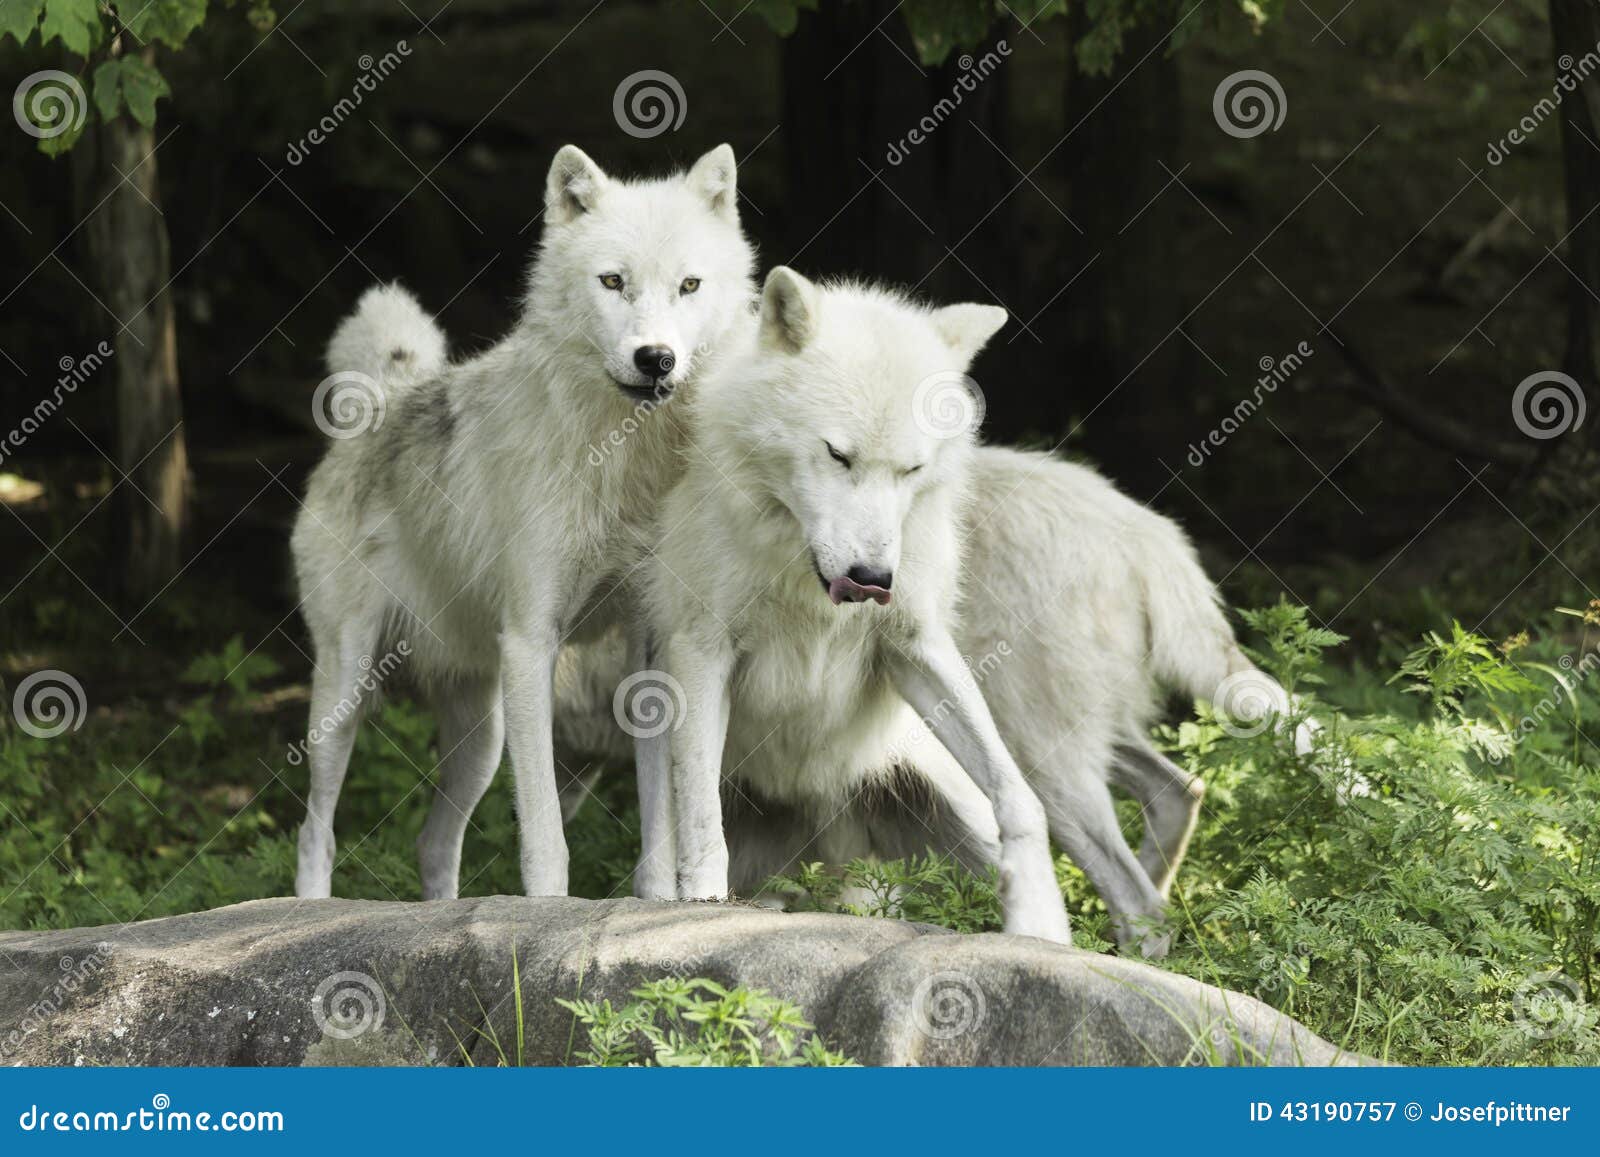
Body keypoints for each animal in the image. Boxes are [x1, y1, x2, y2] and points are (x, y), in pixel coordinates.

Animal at [289, 143, 756, 901]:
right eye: (613, 281)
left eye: (689, 285)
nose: (656, 358)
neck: (619, 461)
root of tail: (386, 397)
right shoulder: (532, 641)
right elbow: (544, 834)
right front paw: (547, 912)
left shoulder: (650, 649)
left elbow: (659, 816)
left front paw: (657, 902)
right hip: (347, 695)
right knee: (315, 830)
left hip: (479, 736)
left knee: (433, 842)